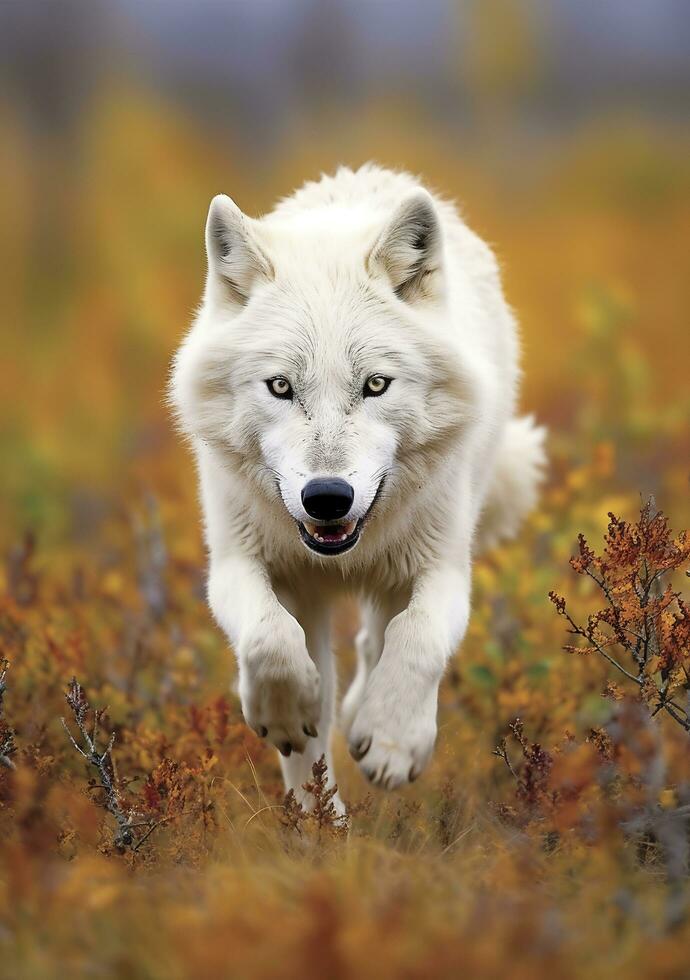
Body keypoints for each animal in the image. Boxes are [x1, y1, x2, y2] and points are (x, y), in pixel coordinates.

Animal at [170, 164, 545, 809]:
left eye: (375, 385)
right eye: (280, 387)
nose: (327, 497)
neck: (340, 556)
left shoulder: (443, 567)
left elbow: (417, 640)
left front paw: (393, 744)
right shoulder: (239, 563)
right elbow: (270, 644)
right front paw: (284, 723)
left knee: (377, 641)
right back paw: (320, 818)